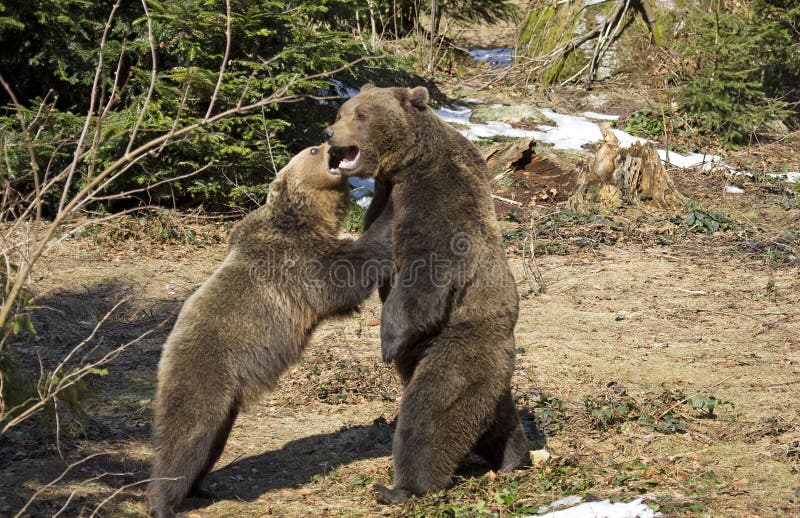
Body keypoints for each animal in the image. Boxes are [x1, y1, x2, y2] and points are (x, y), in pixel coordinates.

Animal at [147, 143, 392, 518]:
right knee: (186, 435)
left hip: (226, 402)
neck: (310, 217)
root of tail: (164, 355)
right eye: (313, 149)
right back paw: (163, 502)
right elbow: (343, 275)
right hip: (205, 372)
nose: (328, 141)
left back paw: (201, 488)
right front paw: (385, 222)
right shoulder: (295, 259)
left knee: (211, 442)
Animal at [324, 85, 530, 503]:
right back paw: (514, 457)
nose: (329, 134)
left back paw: (402, 487)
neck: (405, 168)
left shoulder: (439, 202)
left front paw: (387, 341)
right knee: (496, 417)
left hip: (460, 347)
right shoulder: (382, 202)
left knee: (430, 413)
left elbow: (425, 274)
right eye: (342, 111)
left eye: (361, 116)